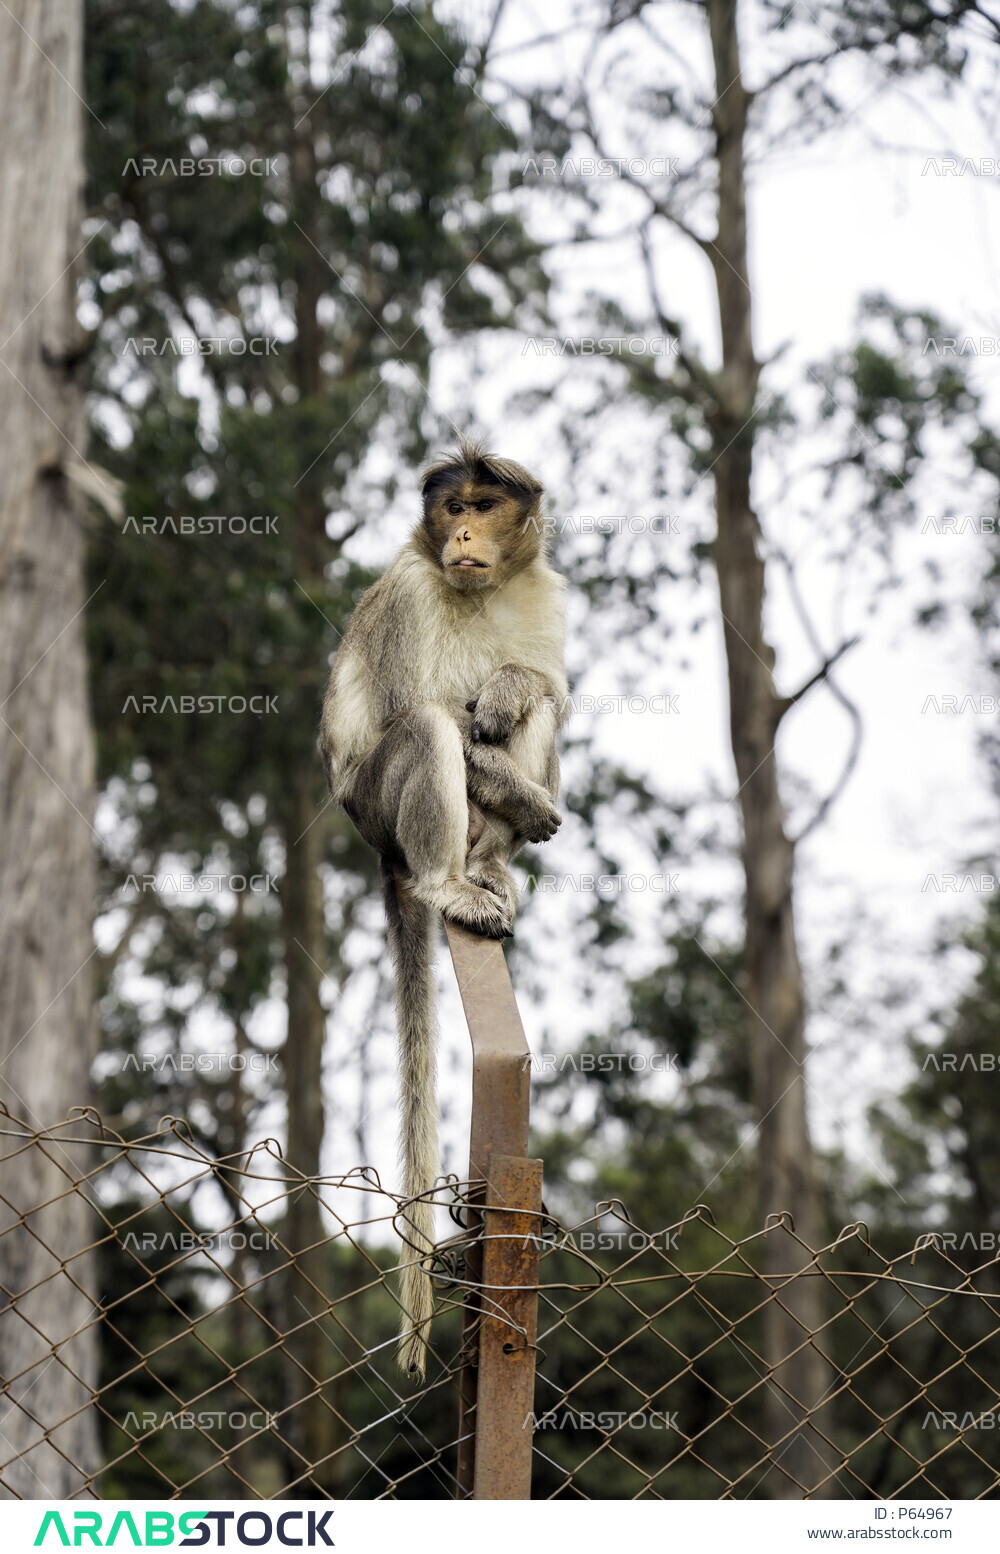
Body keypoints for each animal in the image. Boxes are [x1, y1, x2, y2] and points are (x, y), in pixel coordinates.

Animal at [319, 437, 567, 1380]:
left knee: (523, 707)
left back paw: (491, 862)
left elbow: (543, 688)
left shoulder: (544, 591)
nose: (461, 532)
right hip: (376, 803)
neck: (478, 587)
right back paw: (443, 880)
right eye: (452, 505)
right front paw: (513, 787)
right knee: (426, 723)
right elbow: (421, 715)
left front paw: (511, 702)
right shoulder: (408, 592)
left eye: (485, 506)